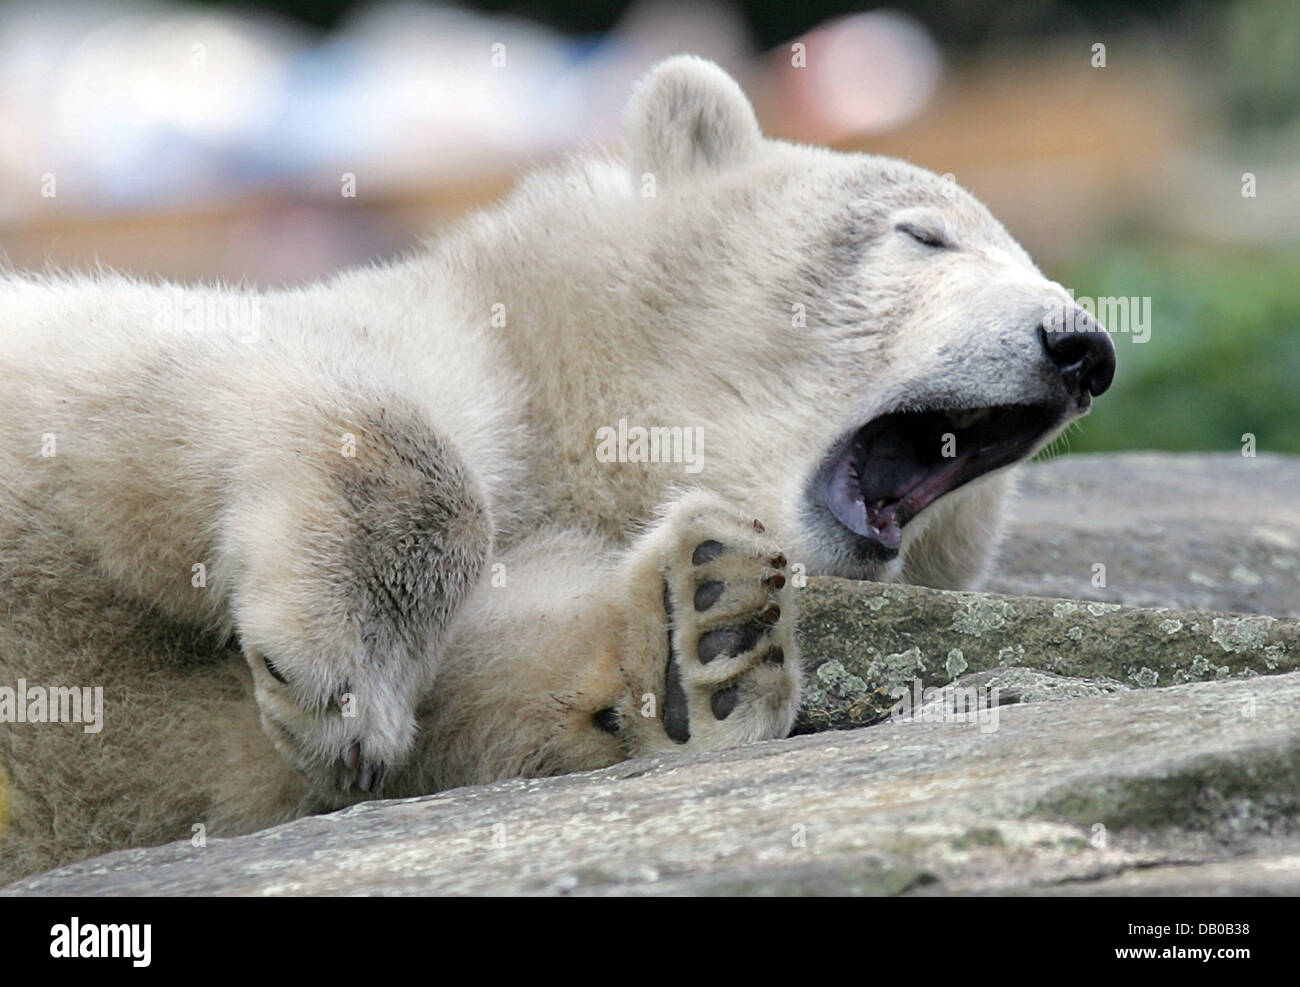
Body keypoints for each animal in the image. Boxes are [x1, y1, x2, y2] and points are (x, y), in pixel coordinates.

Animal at [0, 56, 1115, 884]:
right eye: (921, 235)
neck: (559, 402)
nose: (1084, 349)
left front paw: (701, 636)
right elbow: (173, 383)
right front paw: (339, 672)